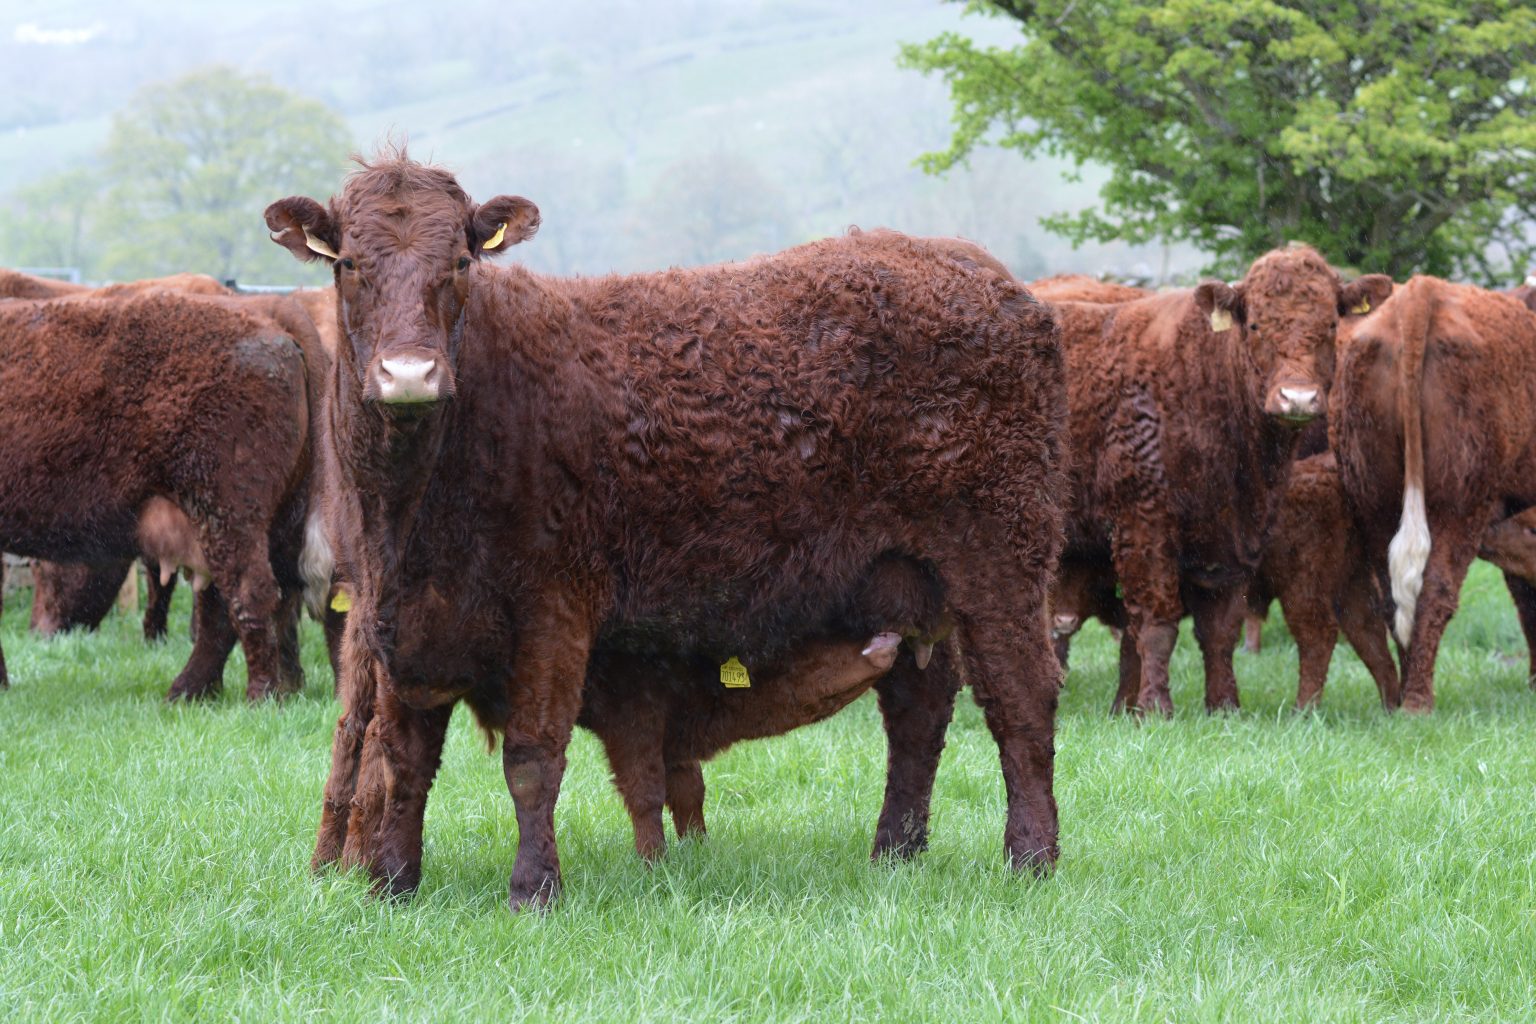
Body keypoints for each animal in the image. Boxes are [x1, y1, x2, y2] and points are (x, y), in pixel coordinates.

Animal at [0, 290, 331, 699]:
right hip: (259, 521)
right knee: (245, 602)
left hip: (227, 514)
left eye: (39, 567)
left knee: (250, 594)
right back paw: (198, 691)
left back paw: (259, 694)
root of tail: (264, 309)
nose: (39, 632)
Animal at [267, 152, 1068, 910]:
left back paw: (1031, 858)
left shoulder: (555, 608)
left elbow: (532, 759)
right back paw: (896, 852)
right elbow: (401, 754)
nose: (409, 374)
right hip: (904, 580)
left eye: (460, 263)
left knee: (1020, 700)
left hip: (1000, 558)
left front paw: (534, 889)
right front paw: (390, 885)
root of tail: (982, 270)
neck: (419, 505)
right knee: (917, 716)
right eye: (348, 265)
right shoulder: (399, 616)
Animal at [1050, 246, 1392, 715]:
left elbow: (1221, 628)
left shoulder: (1235, 540)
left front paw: (1224, 705)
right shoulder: (1144, 524)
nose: (1298, 398)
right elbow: (1156, 622)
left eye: (1330, 324)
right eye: (1255, 324)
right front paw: (1155, 707)